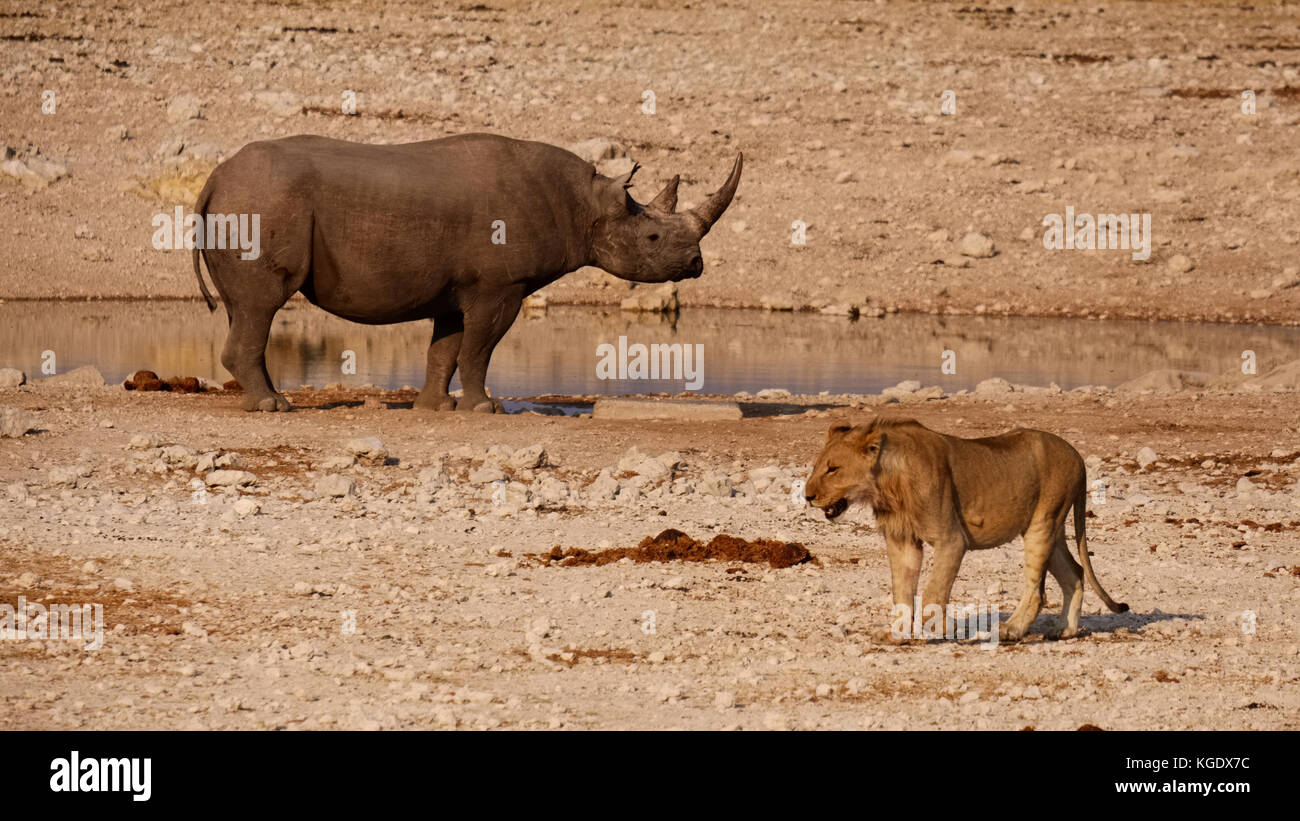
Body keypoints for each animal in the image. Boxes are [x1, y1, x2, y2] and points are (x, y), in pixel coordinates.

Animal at [191, 133, 742, 412]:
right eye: (652, 239)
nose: (695, 265)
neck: (585, 204)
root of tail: (214, 177)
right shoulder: (501, 287)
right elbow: (479, 349)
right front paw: (484, 409)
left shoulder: (460, 288)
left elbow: (447, 348)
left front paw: (433, 408)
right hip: (261, 202)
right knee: (263, 303)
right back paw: (275, 407)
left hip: (248, 201)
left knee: (246, 308)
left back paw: (269, 402)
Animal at [804, 416, 1127, 642]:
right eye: (817, 466)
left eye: (833, 469)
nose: (807, 496)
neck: (887, 485)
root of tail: (1077, 455)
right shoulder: (903, 541)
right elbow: (902, 593)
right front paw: (898, 636)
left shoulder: (951, 539)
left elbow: (933, 592)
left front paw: (941, 630)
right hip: (1053, 529)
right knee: (1075, 573)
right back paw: (1065, 630)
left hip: (1043, 523)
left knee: (1037, 591)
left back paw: (1010, 630)